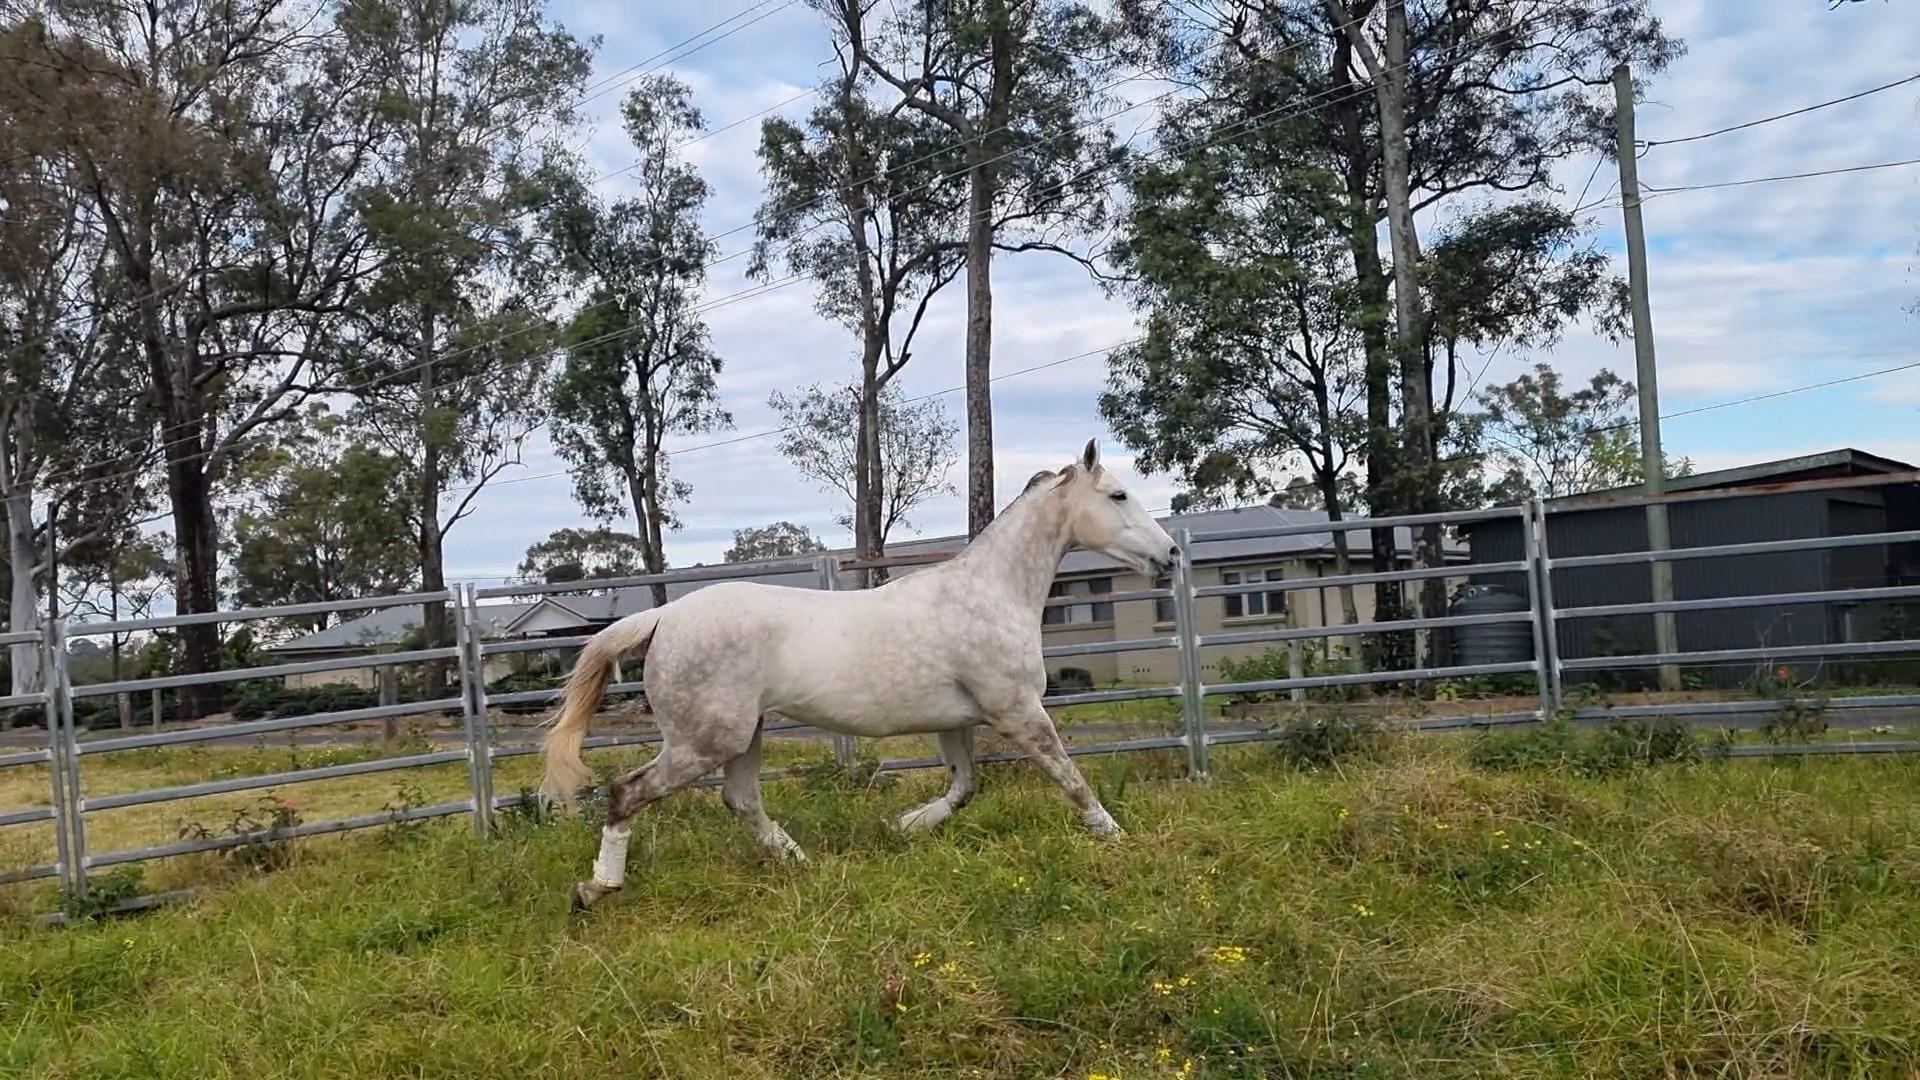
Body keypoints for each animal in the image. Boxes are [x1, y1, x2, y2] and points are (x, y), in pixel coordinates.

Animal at [540, 439, 1181, 911]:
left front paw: (905, 826)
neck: (989, 593)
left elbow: (964, 787)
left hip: (742, 736)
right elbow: (1070, 778)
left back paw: (801, 863)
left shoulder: (957, 722)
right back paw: (595, 888)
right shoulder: (1018, 712)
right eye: (1119, 494)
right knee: (627, 792)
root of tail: (663, 617)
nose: (1170, 554)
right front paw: (1115, 835)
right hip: (705, 741)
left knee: (741, 801)